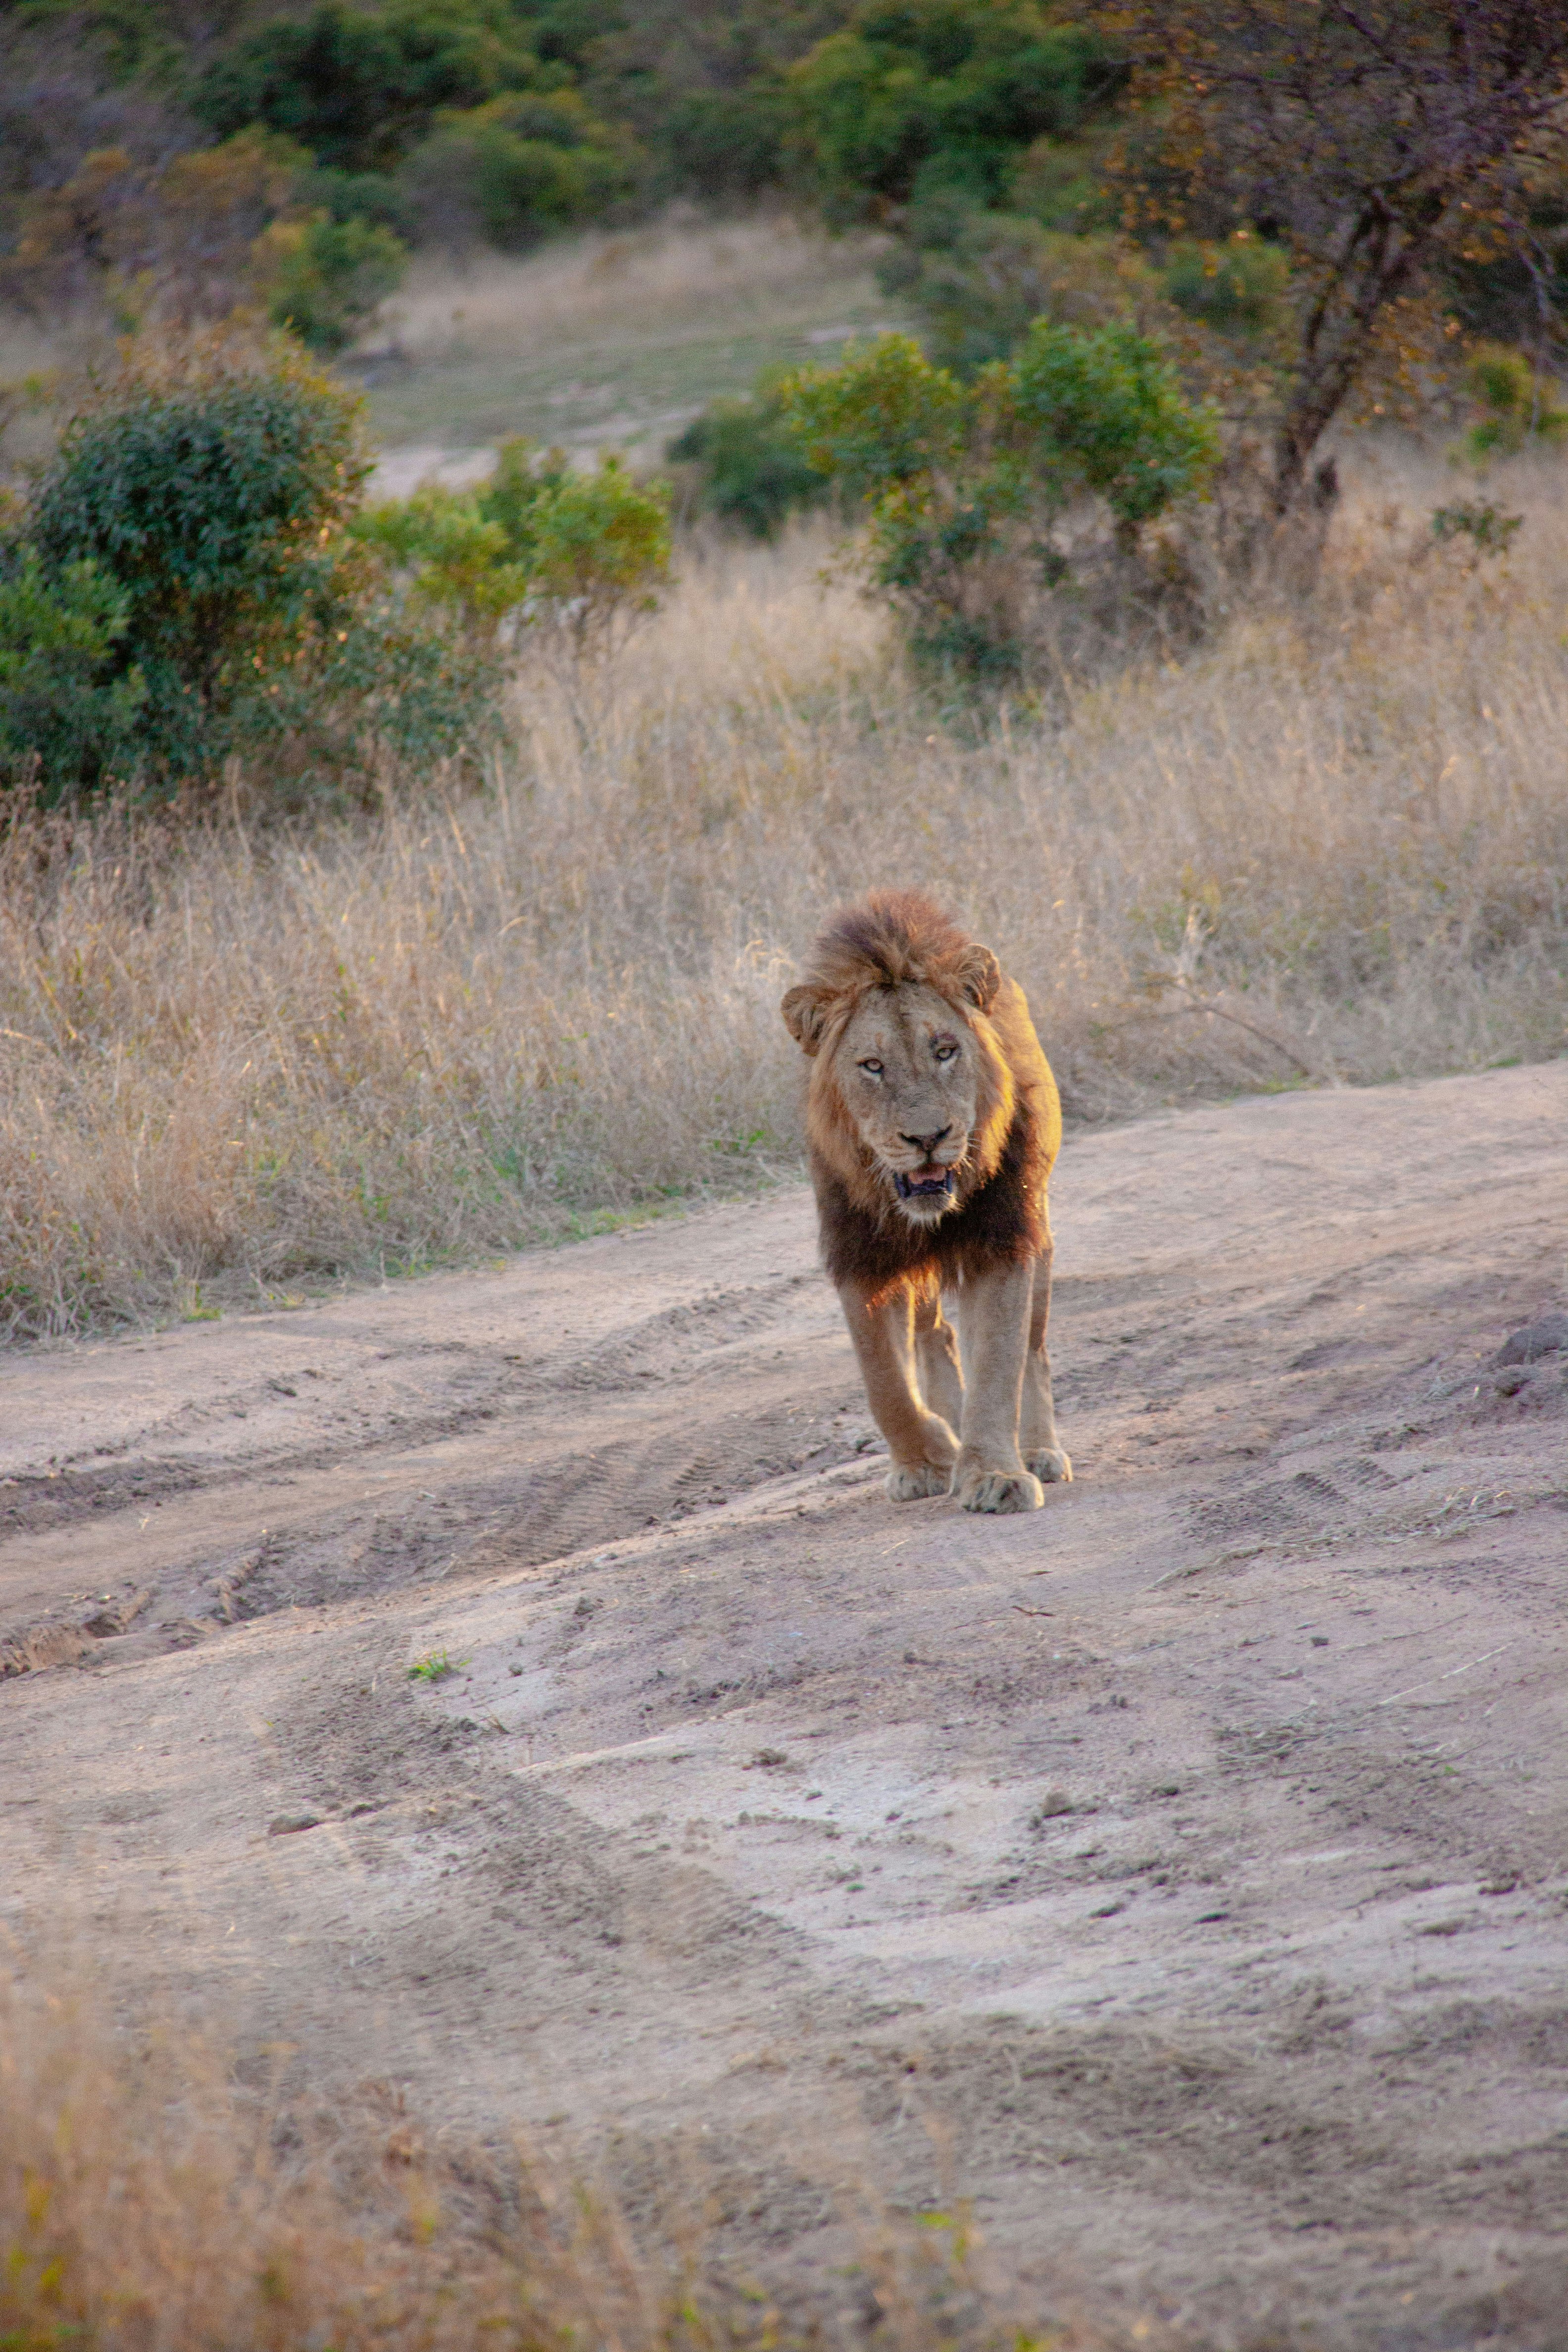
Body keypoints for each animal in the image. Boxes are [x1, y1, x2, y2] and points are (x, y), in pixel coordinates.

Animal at [781, 888, 1071, 1515]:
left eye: (945, 1051)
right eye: (872, 1066)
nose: (928, 1137)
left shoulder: (1002, 1239)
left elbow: (999, 1363)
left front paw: (994, 1475)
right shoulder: (860, 1255)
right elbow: (884, 1382)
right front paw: (929, 1458)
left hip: (1039, 1229)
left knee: (1035, 1349)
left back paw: (1039, 1450)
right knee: (933, 1334)